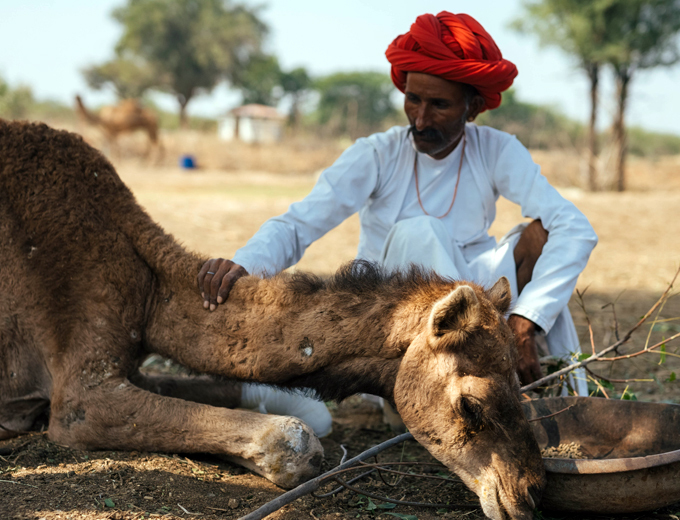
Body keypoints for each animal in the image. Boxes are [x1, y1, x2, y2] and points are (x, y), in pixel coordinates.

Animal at [0, 120, 545, 520]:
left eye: (521, 388)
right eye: (471, 405)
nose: (528, 495)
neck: (151, 283)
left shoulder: (131, 366)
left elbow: (295, 408)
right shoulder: (81, 393)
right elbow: (293, 437)